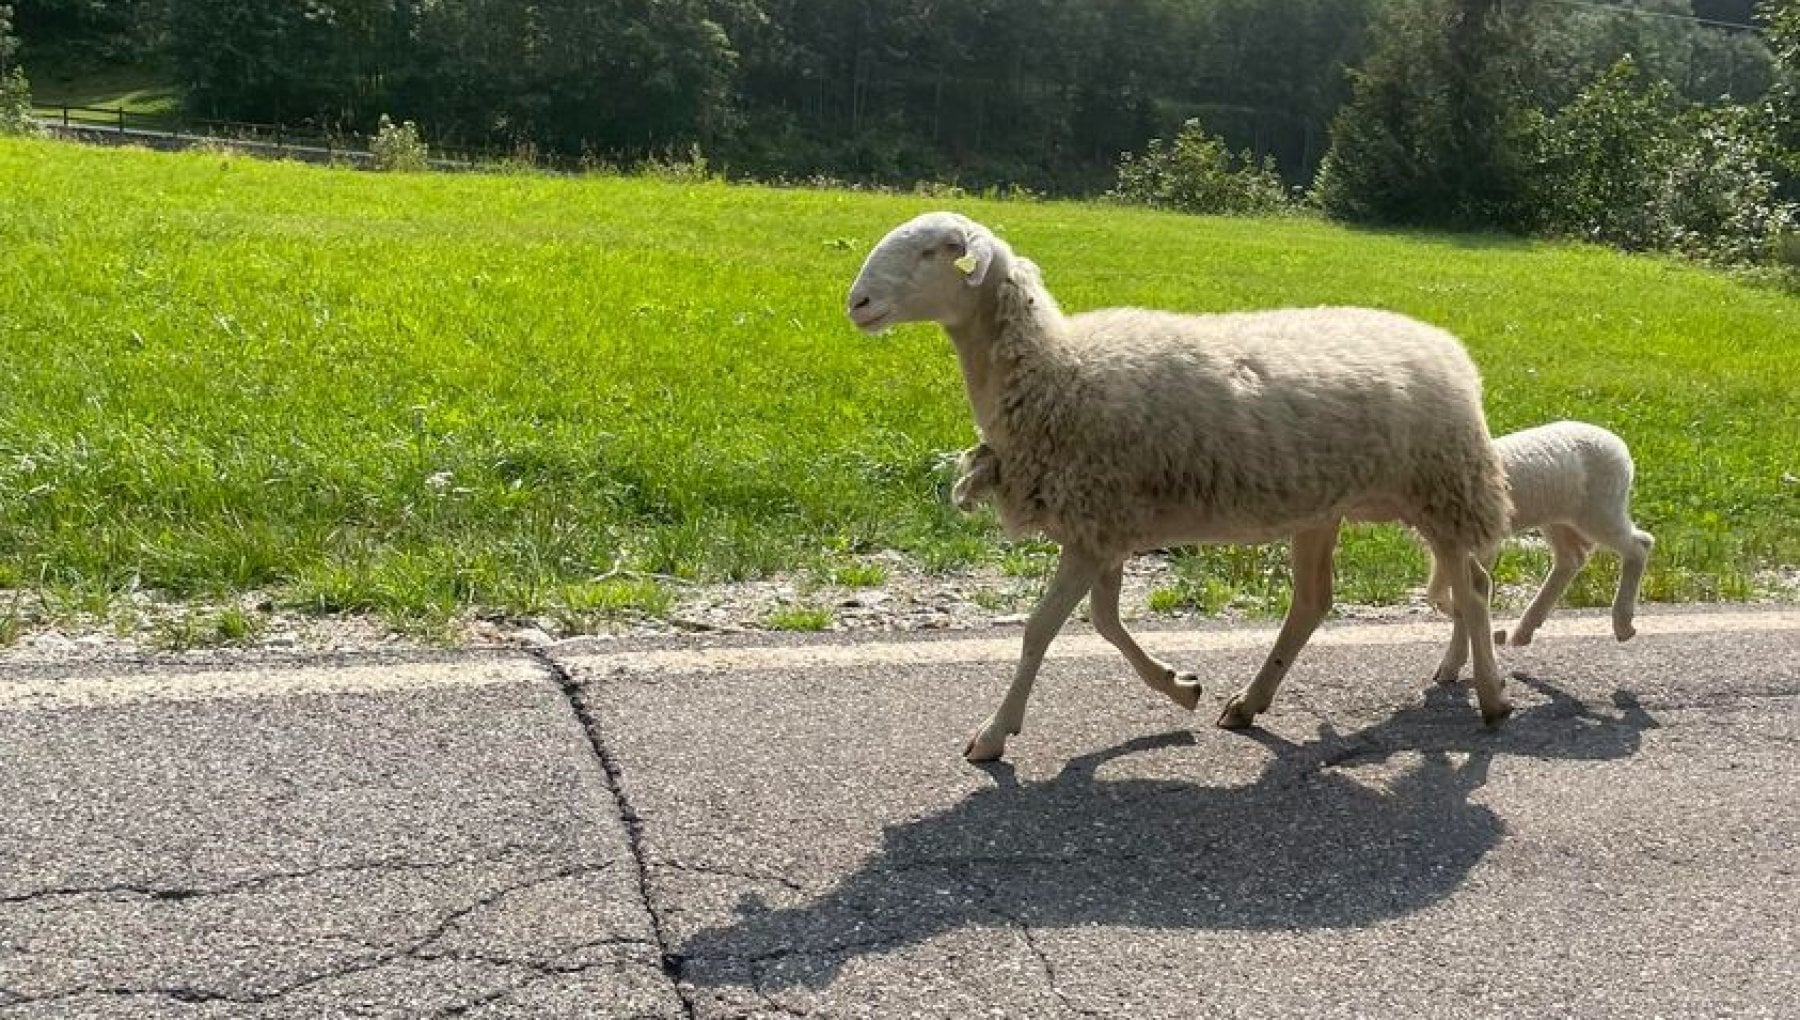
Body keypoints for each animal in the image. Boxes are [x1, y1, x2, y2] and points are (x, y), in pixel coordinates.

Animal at [847, 211, 1515, 762]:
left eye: (937, 250)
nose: (857, 302)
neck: (1056, 371)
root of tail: (1451, 350)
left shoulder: (1093, 523)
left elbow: (1040, 630)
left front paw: (992, 734)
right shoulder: (1102, 524)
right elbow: (1104, 622)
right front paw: (1179, 688)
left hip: (1443, 484)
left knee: (1473, 588)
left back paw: (1491, 697)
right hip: (1329, 507)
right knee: (1315, 602)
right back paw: (1251, 702)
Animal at [1425, 421, 1654, 663]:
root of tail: (1621, 447)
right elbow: (1437, 589)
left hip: (1600, 508)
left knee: (1640, 545)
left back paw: (1623, 625)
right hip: (1557, 517)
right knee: (1571, 559)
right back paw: (1524, 630)